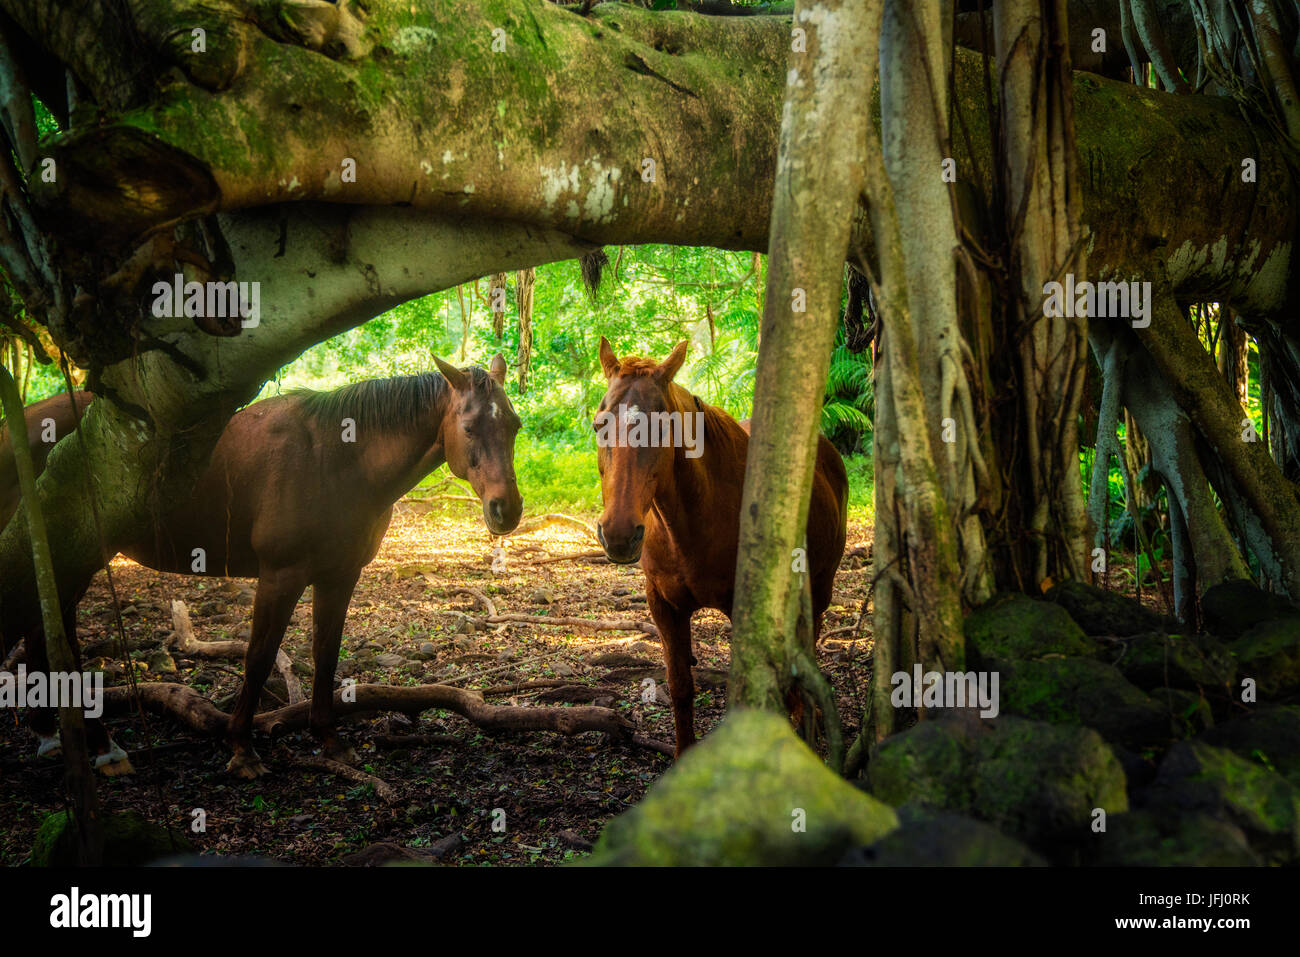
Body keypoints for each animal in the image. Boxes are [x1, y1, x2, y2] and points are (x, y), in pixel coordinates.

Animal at [0, 355, 523, 778]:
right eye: (470, 428)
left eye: (514, 425)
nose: (507, 510)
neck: (339, 457)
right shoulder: (280, 576)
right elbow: (259, 658)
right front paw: (242, 749)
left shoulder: (339, 575)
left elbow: (326, 653)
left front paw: (329, 741)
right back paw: (98, 744)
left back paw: (60, 735)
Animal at [592, 337, 849, 756]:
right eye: (599, 425)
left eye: (661, 427)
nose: (618, 533)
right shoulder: (664, 607)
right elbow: (680, 686)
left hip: (820, 587)